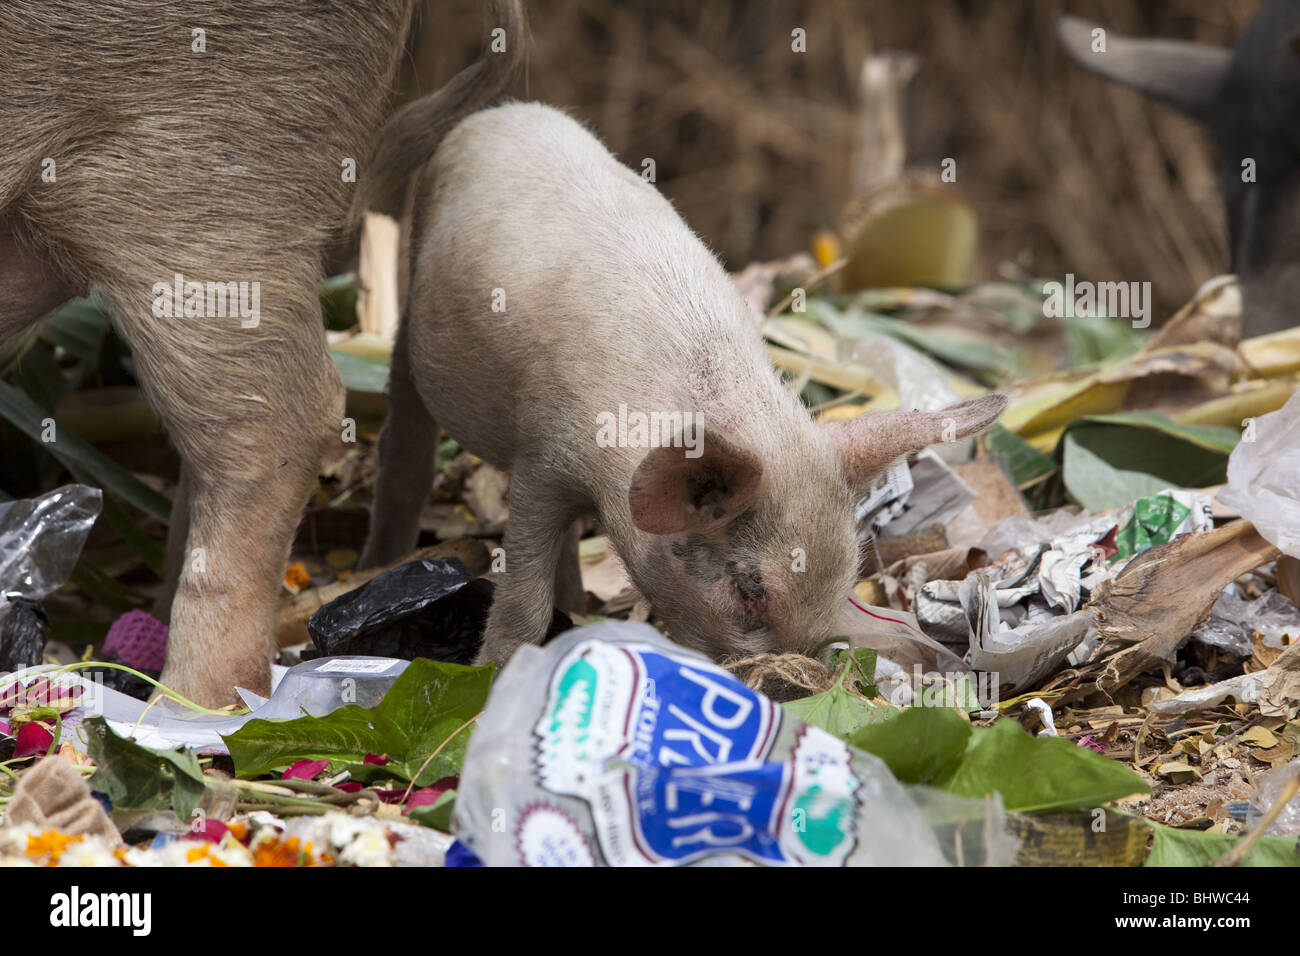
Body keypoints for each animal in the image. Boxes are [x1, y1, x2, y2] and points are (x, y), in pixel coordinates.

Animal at [360, 102, 1008, 667]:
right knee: (406, 437)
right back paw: (382, 560)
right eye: (750, 590)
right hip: (412, 310)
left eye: (846, 583)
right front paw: (491, 671)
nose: (787, 683)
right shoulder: (542, 455)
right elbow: (524, 594)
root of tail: (497, 111)